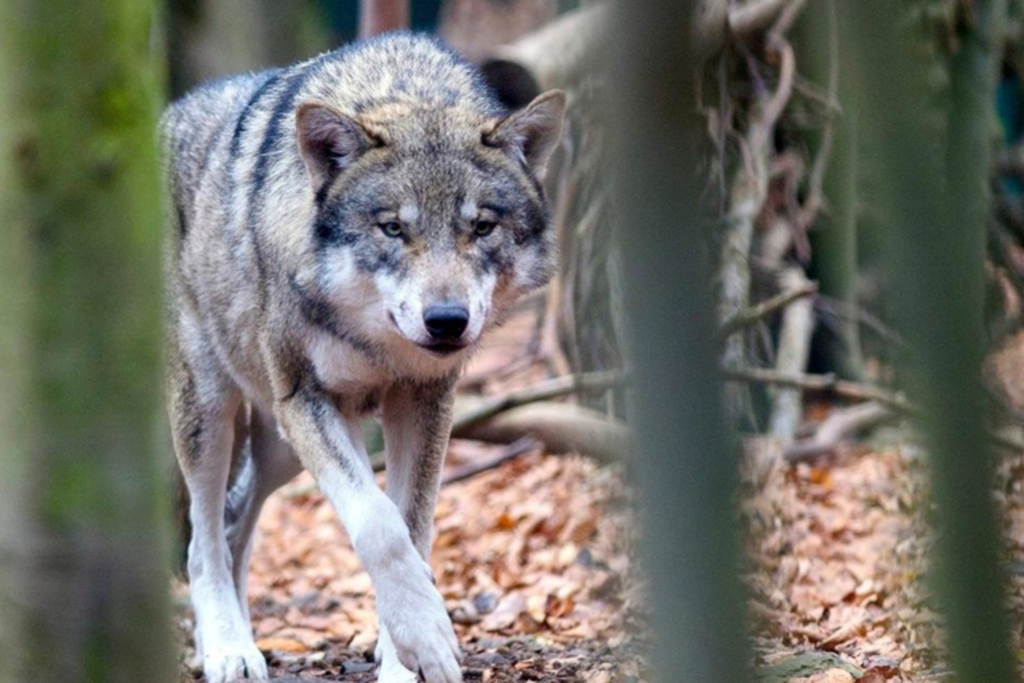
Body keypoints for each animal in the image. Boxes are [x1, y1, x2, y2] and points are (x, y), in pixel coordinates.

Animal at [161, 32, 564, 683]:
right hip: (214, 412)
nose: (447, 321)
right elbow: (379, 526)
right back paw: (228, 649)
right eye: (393, 228)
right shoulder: (308, 401)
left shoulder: (424, 402)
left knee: (235, 525)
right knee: (203, 540)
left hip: (279, 448)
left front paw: (405, 659)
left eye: (481, 227)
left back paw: (231, 641)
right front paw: (426, 637)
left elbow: (411, 527)